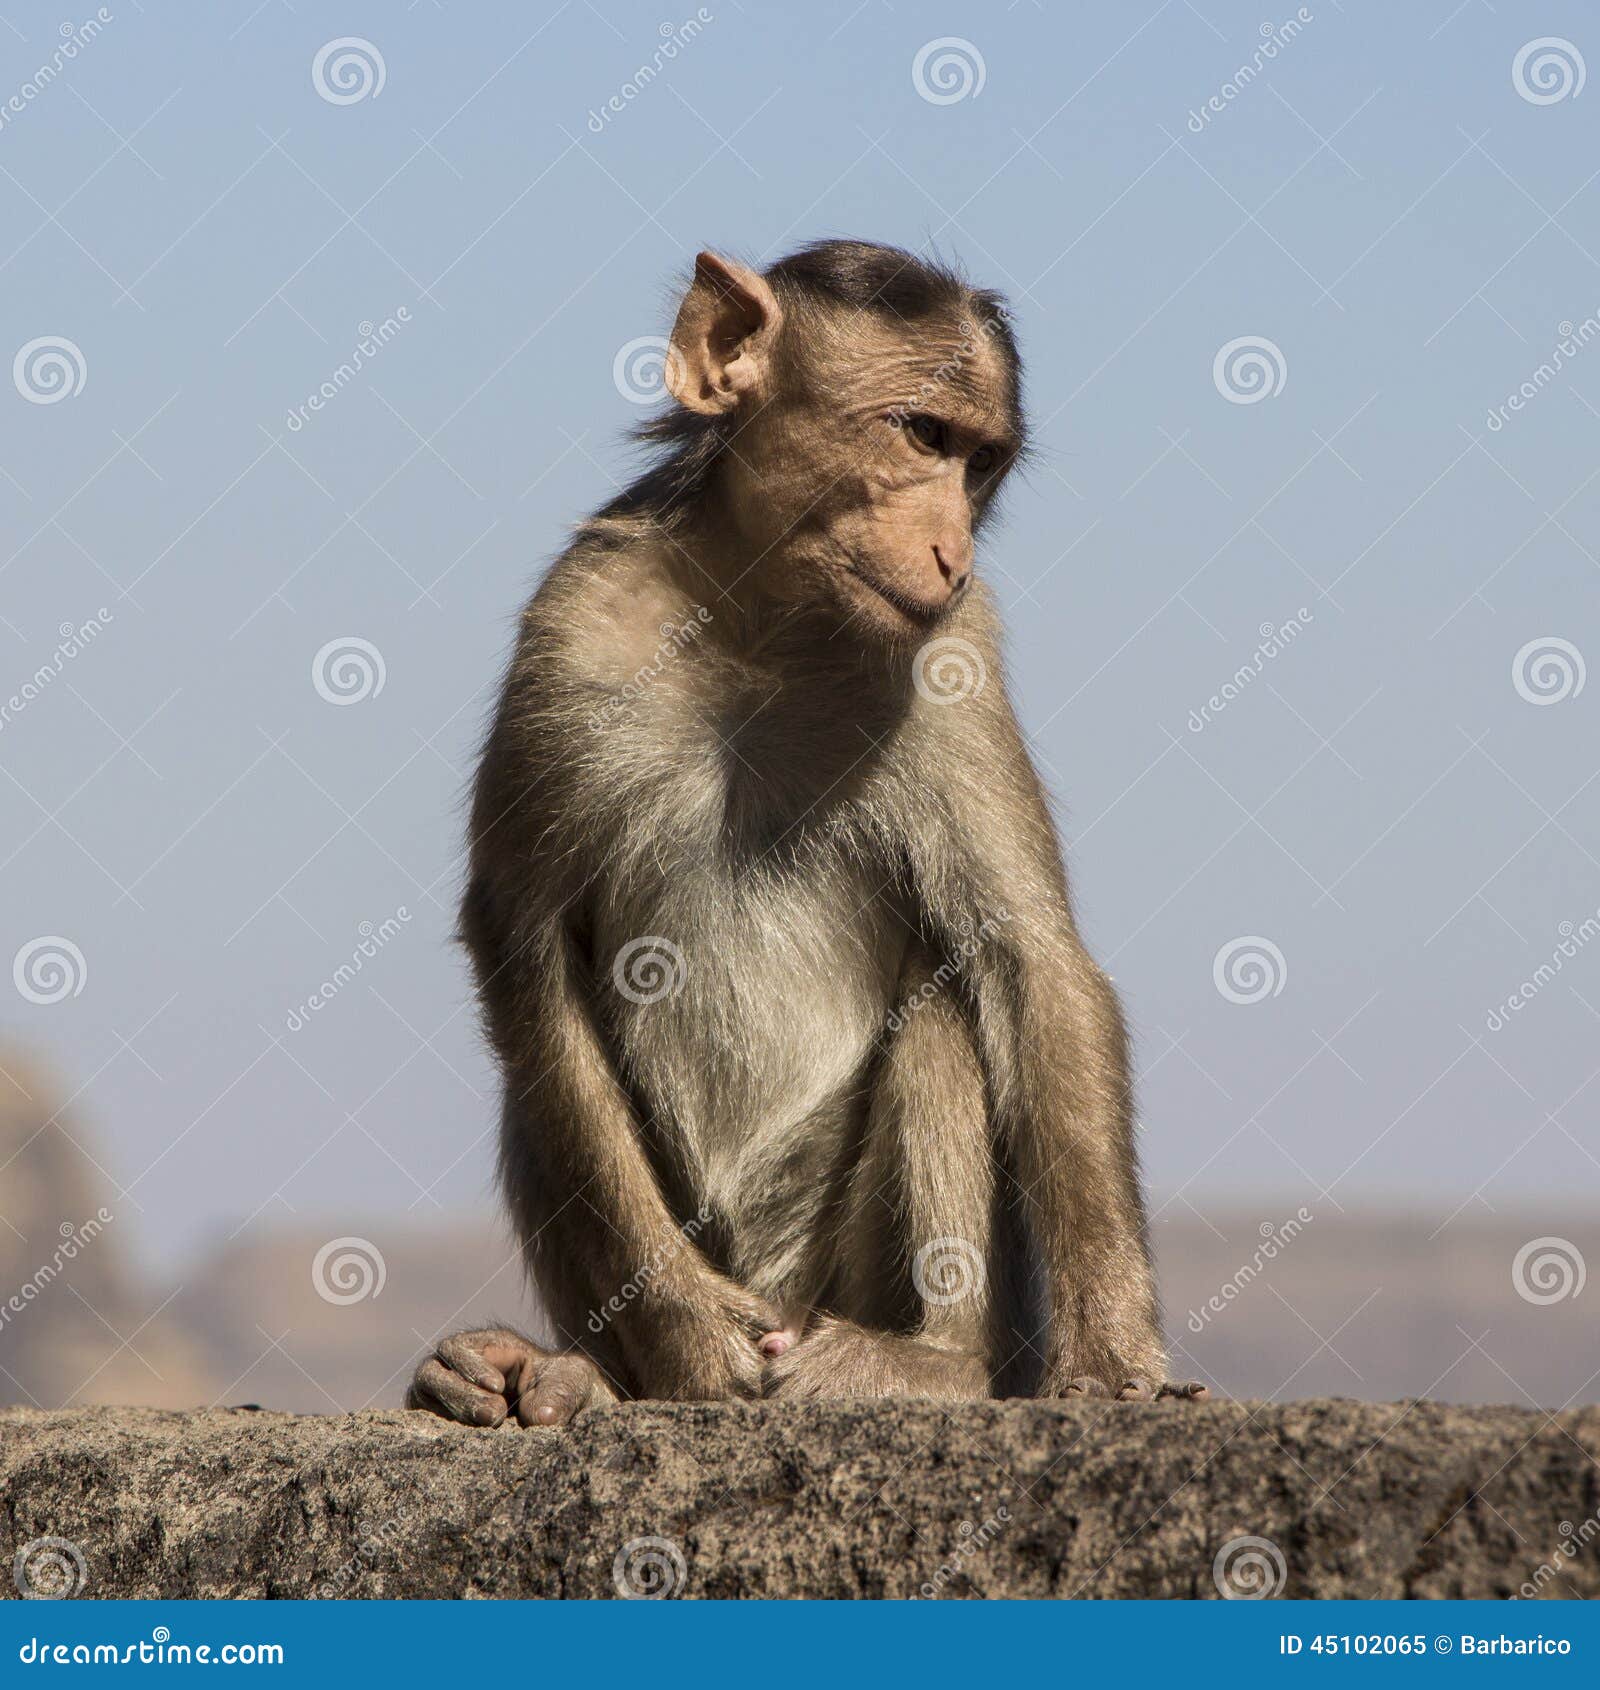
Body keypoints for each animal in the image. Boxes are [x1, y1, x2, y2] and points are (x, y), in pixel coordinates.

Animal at [409, 239, 1207, 1429]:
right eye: (920, 435)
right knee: (536, 1084)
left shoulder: (956, 654)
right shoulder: (571, 623)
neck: (762, 623)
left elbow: (1028, 963)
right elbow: (526, 944)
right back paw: (578, 1373)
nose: (952, 547)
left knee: (944, 1010)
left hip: (834, 1279)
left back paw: (934, 1364)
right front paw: (687, 1339)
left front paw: (1112, 1357)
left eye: (981, 462)